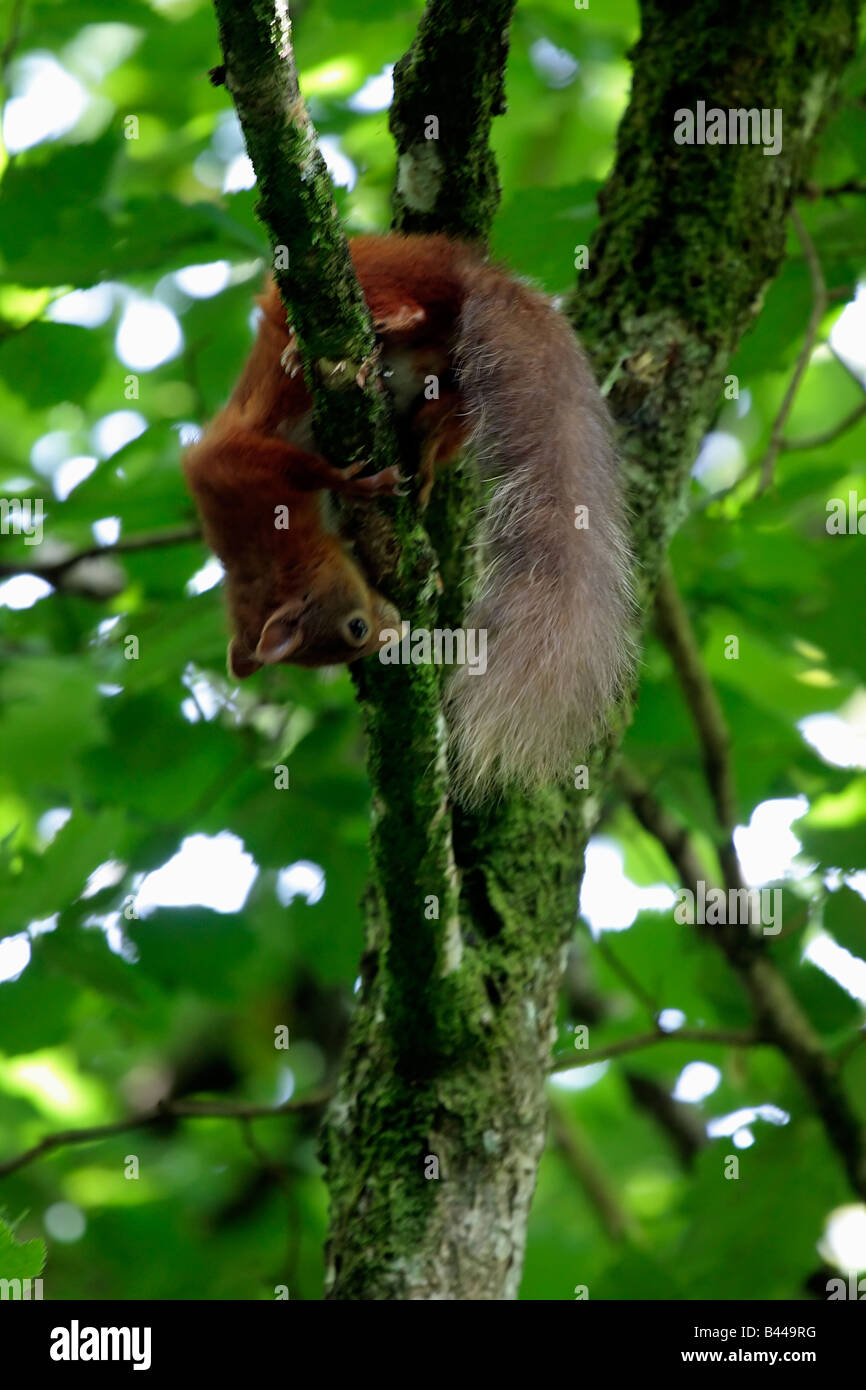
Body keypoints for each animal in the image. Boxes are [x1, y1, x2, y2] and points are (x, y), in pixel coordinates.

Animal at [183, 233, 634, 800]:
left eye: (354, 628)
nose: (397, 632)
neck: (268, 553)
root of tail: (463, 266)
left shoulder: (232, 465)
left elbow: (295, 465)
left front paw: (353, 481)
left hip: (371, 269)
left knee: (389, 305)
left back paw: (365, 332)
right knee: (447, 404)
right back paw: (421, 452)